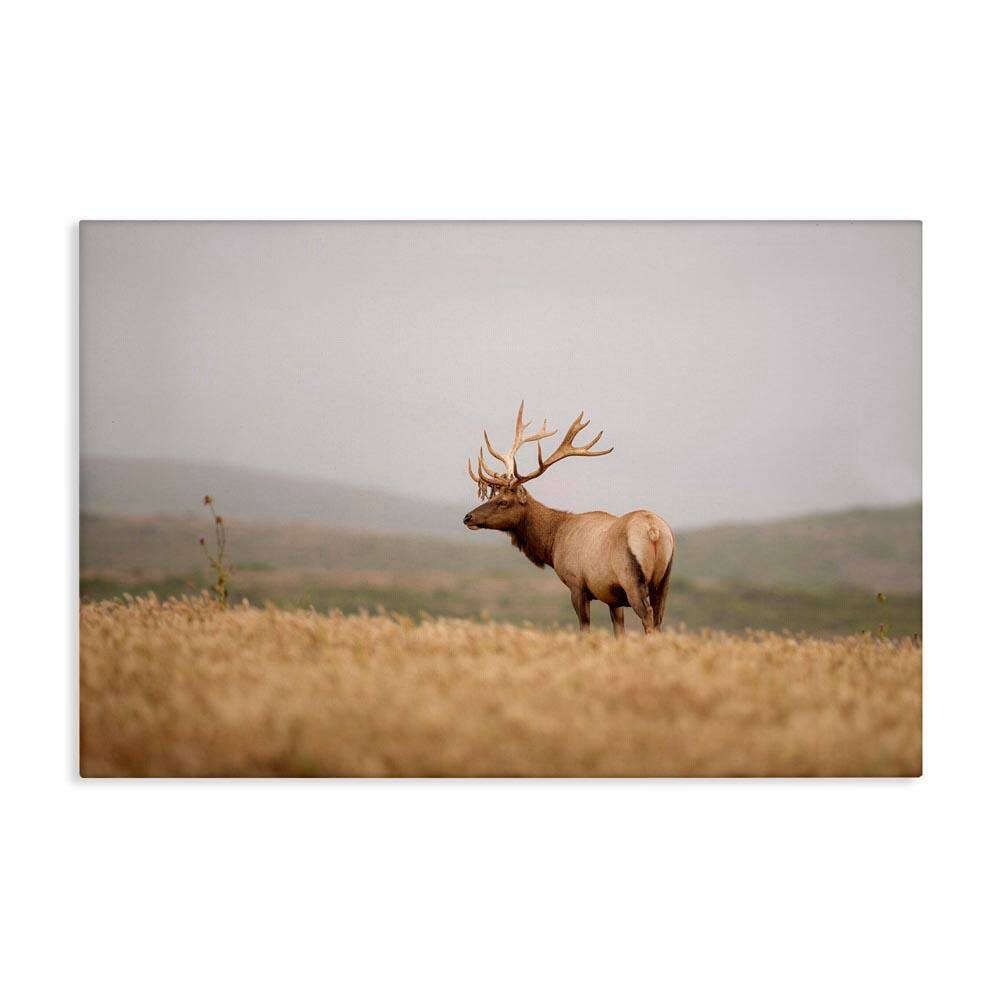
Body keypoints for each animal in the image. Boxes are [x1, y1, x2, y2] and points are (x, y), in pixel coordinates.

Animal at [464, 403, 675, 637]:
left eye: (503, 502)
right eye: (493, 496)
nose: (468, 517)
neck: (554, 541)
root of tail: (653, 530)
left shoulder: (577, 585)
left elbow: (584, 628)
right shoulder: (612, 597)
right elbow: (618, 632)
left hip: (632, 579)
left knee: (648, 618)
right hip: (664, 581)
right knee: (658, 619)